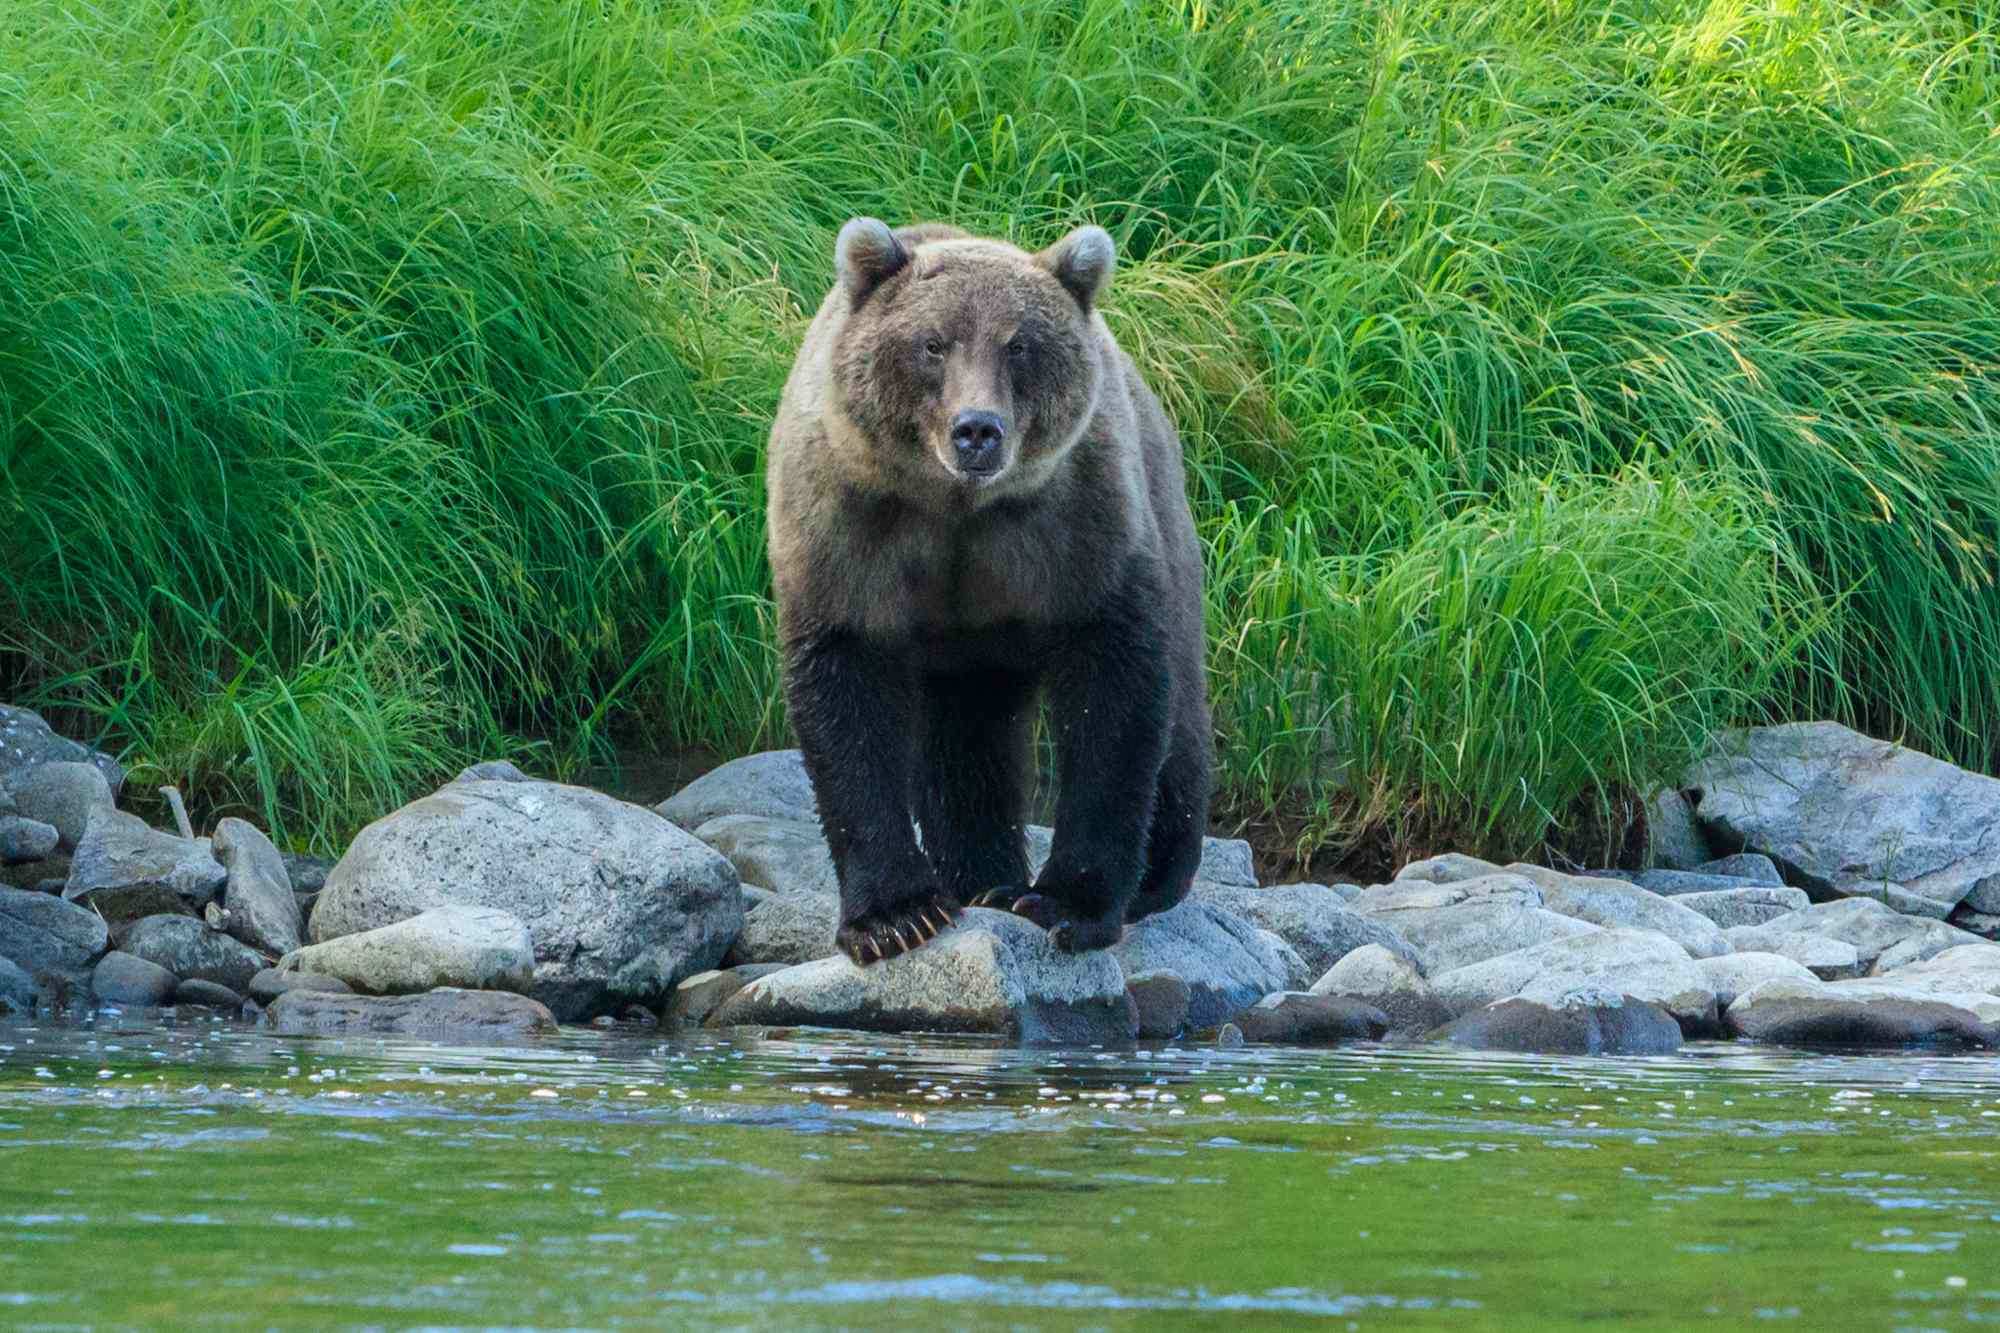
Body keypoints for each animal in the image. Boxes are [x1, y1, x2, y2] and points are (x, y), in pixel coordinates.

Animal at [765, 217, 1211, 966]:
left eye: (1019, 345)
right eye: (932, 343)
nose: (978, 429)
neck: (957, 510)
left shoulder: (1075, 525)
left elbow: (1112, 692)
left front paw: (1066, 902)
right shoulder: (848, 525)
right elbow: (846, 697)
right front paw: (895, 916)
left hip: (1164, 519)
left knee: (1175, 713)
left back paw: (1152, 874)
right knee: (967, 746)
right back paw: (978, 877)